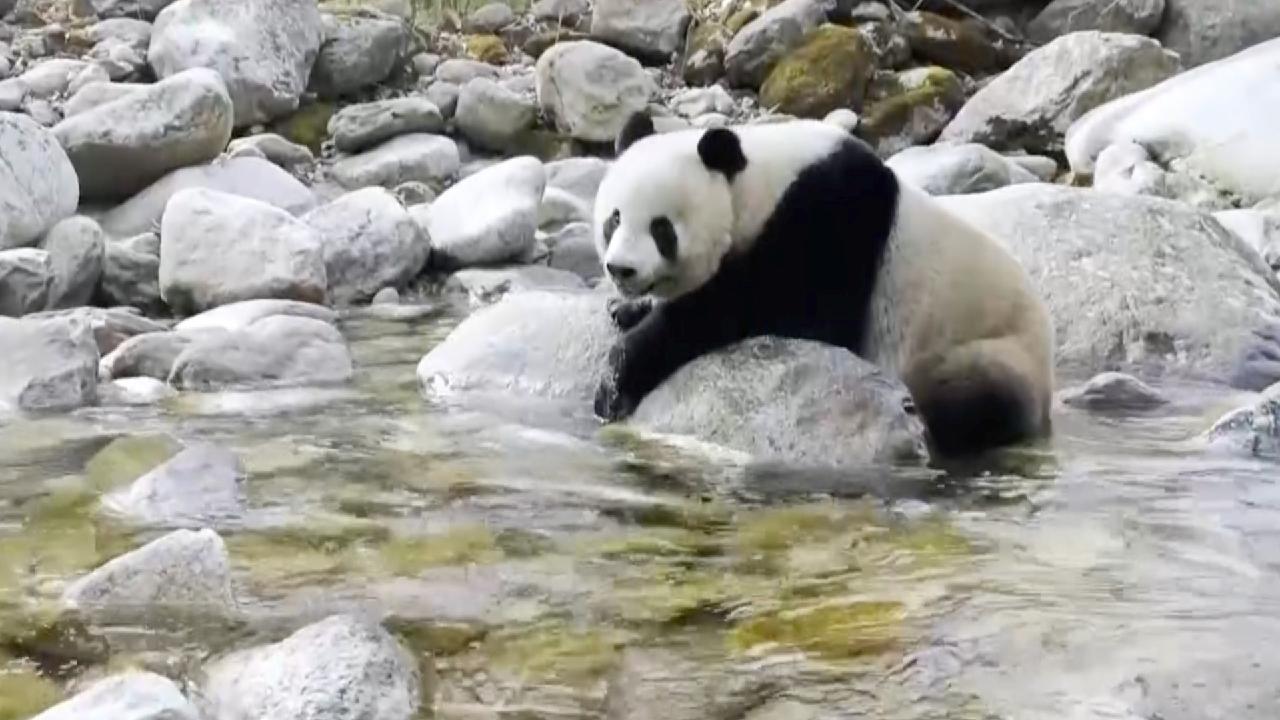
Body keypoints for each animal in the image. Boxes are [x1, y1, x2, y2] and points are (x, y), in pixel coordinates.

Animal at [590, 111, 1055, 459]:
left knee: (972, 398)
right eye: (614, 218)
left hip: (986, 343)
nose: (621, 269)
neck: (760, 186)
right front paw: (628, 311)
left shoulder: (831, 221)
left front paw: (618, 379)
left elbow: (778, 310)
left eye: (661, 228)